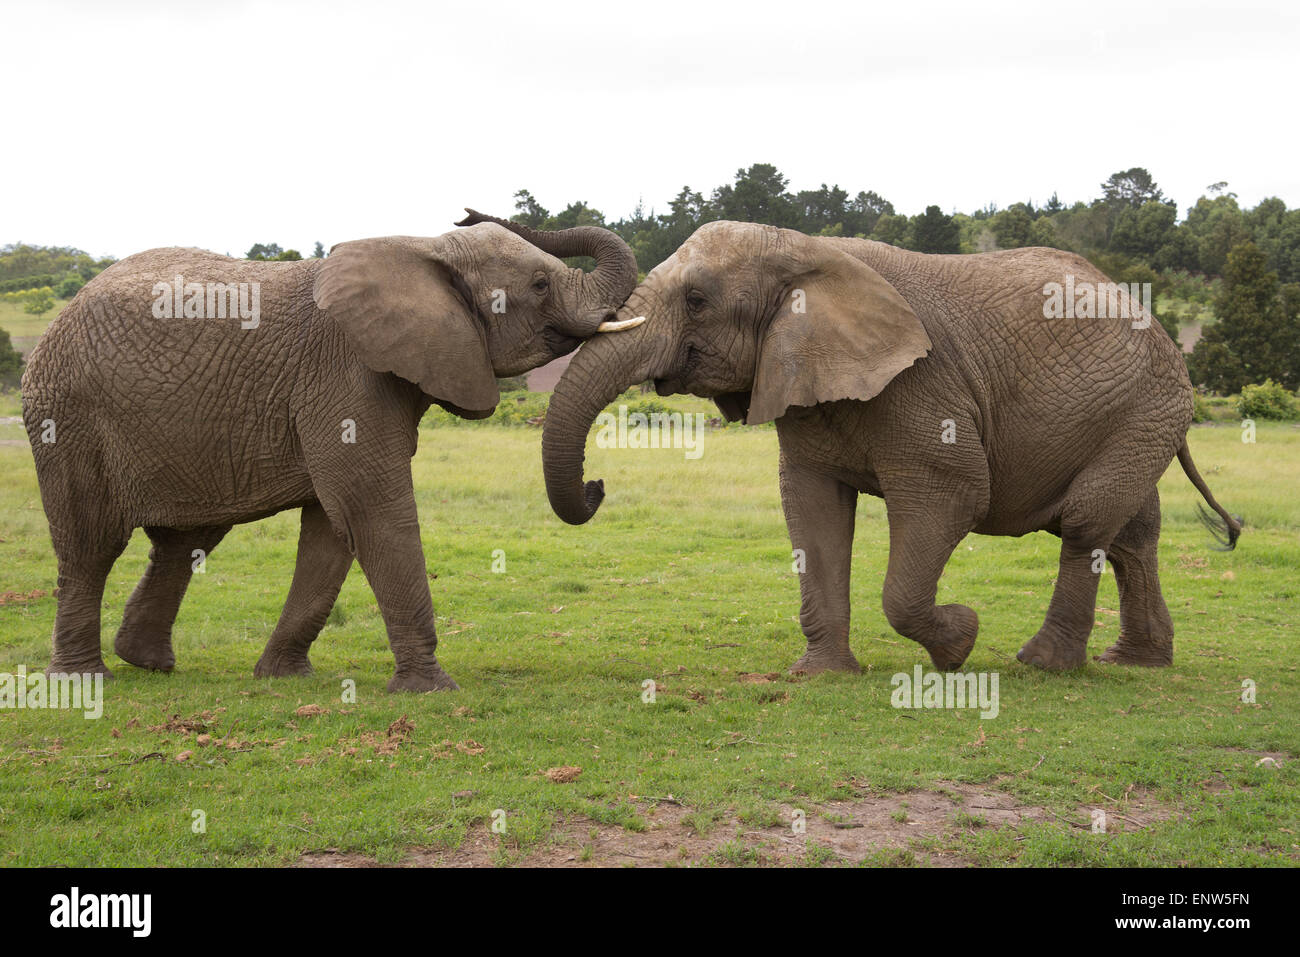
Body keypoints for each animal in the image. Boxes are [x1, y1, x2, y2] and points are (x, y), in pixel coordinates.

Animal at [21, 213, 641, 691]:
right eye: (539, 285)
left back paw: (148, 663)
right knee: (91, 544)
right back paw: (83, 680)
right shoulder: (343, 372)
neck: (425, 248)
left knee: (185, 540)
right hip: (67, 417)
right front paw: (431, 690)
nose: (597, 486)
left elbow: (330, 530)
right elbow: (371, 509)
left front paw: (284, 678)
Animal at [529, 220, 1241, 674]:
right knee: (1130, 530)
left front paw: (960, 643)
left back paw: (1045, 664)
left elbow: (952, 497)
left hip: (1147, 406)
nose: (597, 486)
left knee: (1087, 520)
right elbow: (812, 510)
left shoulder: (924, 384)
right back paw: (1137, 662)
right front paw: (821, 675)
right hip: (1138, 414)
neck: (809, 253)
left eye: (698, 301)